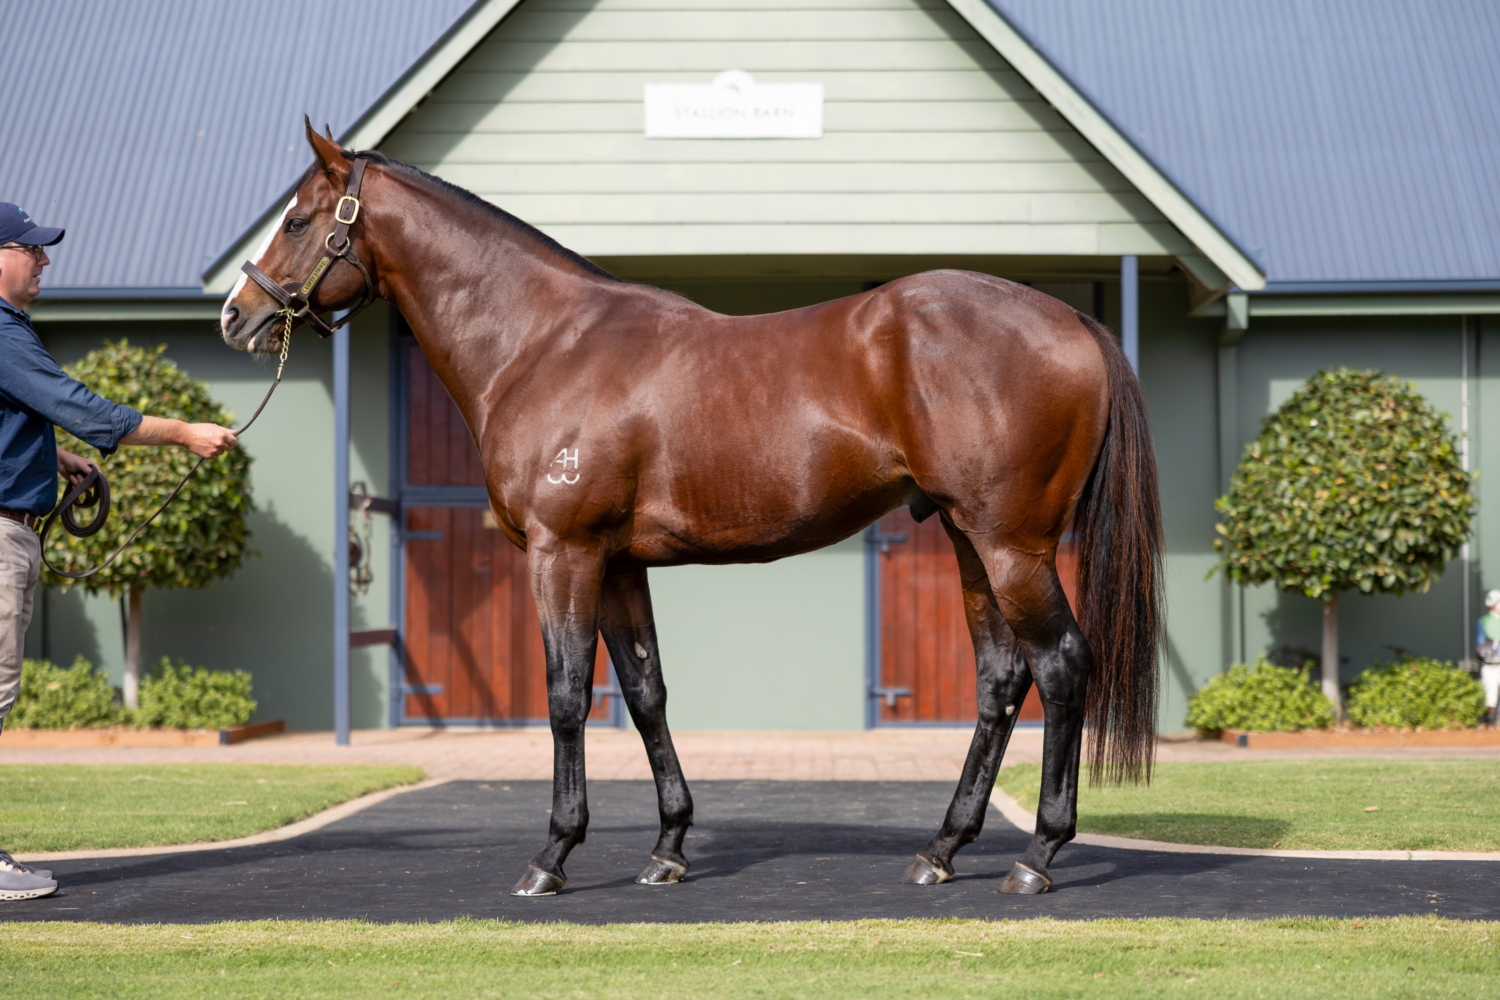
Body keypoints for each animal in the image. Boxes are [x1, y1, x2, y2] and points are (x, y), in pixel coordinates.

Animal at [220, 122, 1163, 897]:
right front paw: (668, 848)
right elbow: (645, 693)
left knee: (1062, 667)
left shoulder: (563, 553)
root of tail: (1073, 321)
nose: (237, 314)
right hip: (973, 545)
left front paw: (552, 856)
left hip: (1013, 547)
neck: (543, 344)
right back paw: (942, 849)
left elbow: (566, 695)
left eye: (299, 220)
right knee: (1001, 681)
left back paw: (1036, 857)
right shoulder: (617, 562)